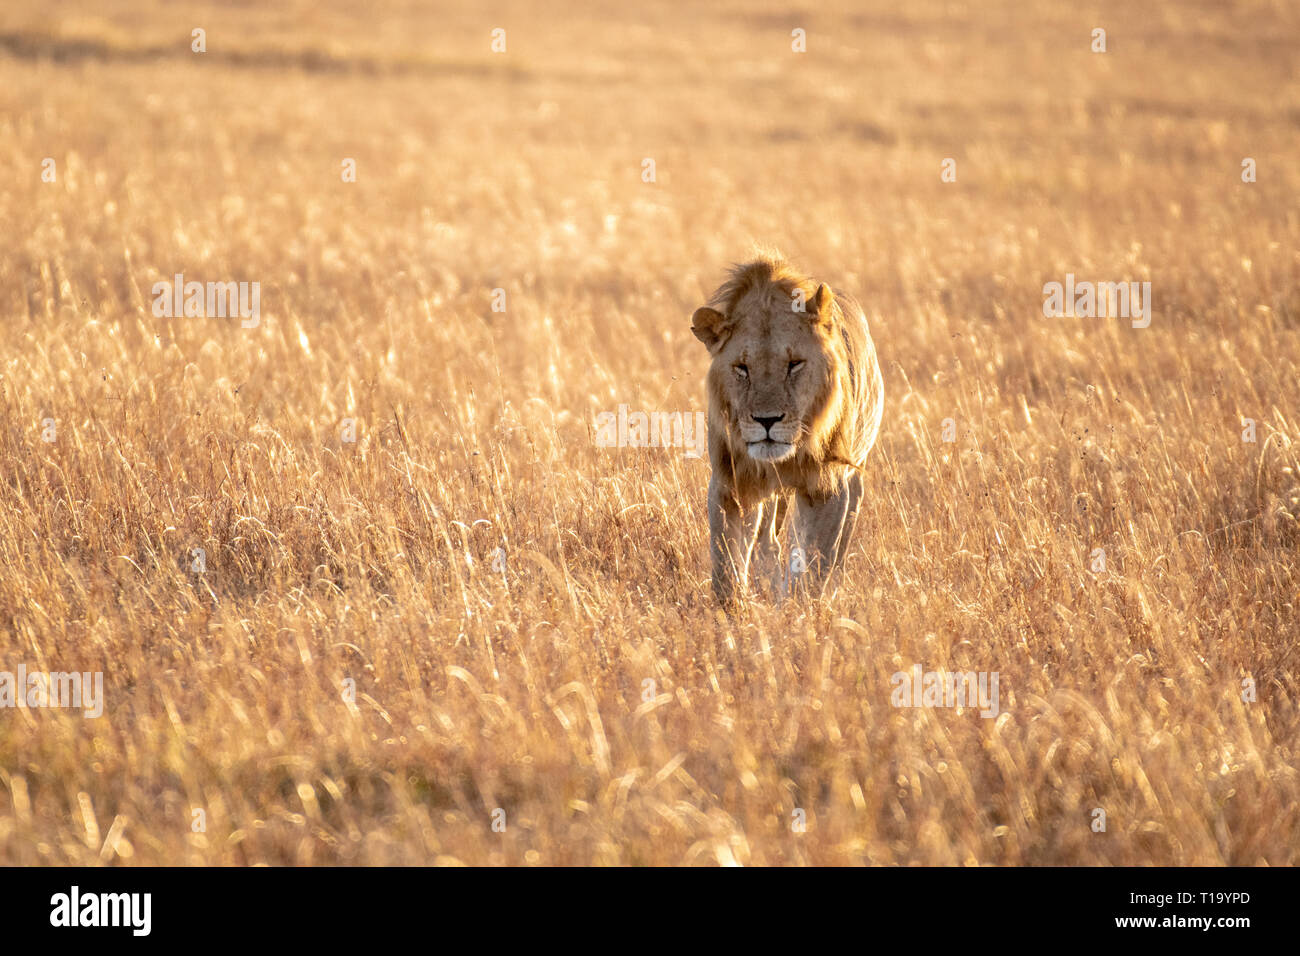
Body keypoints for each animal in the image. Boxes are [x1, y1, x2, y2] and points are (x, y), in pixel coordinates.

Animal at [691, 255, 884, 604]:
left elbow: (813, 564)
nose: (767, 420)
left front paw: (796, 611)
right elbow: (726, 563)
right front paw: (732, 612)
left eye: (795, 364)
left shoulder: (827, 486)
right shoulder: (731, 484)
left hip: (855, 476)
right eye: (742, 368)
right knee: (769, 539)